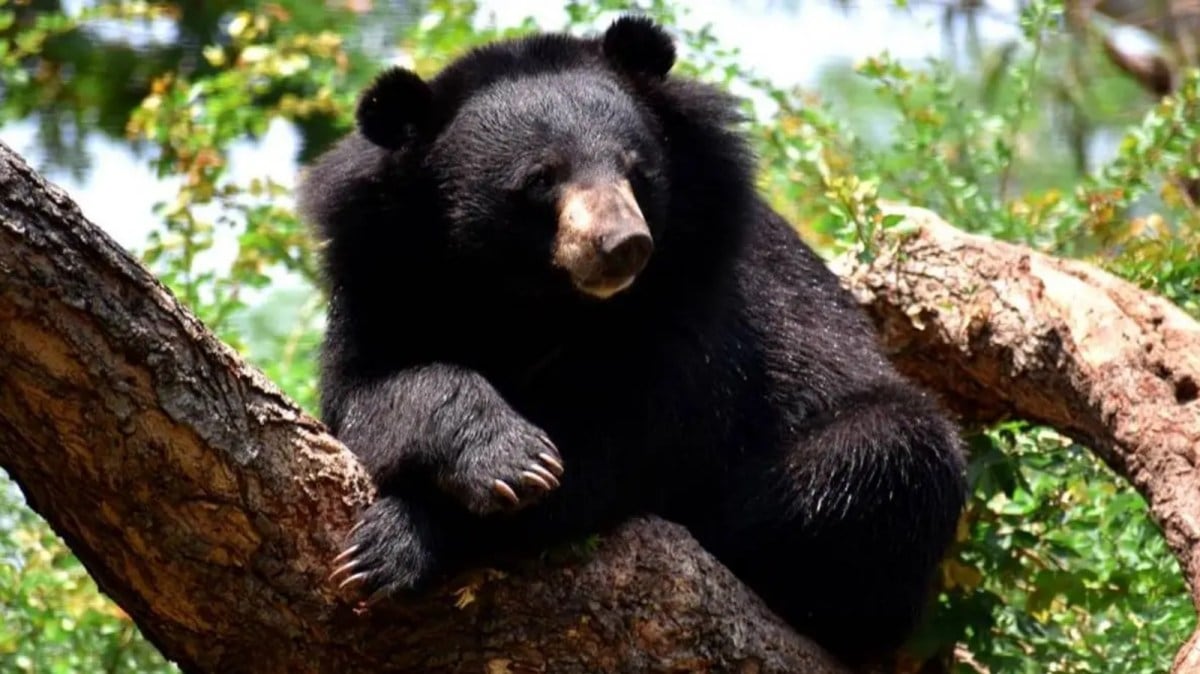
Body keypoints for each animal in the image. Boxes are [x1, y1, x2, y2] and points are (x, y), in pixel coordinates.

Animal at [299, 16, 968, 665]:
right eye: (540, 179)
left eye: (635, 169)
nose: (623, 245)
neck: (531, 297)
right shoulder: (381, 278)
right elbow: (371, 393)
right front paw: (506, 458)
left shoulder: (693, 303)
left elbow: (617, 445)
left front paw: (404, 538)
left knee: (887, 452)